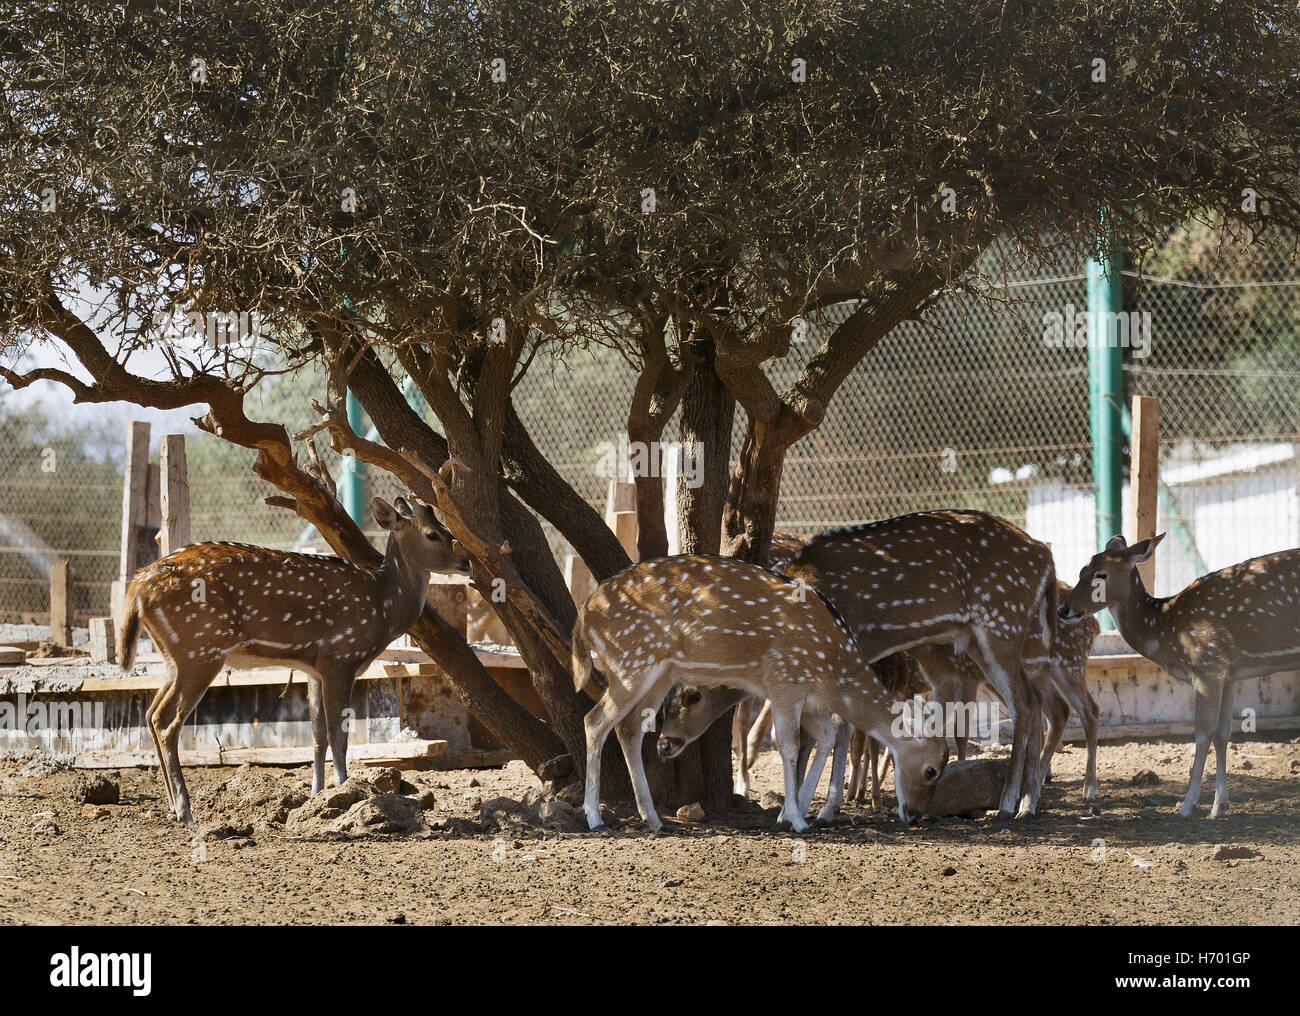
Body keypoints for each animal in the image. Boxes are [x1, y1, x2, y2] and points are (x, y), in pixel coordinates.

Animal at [116, 495, 470, 824]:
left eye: (446, 528)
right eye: (433, 534)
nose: (466, 561)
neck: (383, 608)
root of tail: (136, 588)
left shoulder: (313, 668)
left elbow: (317, 733)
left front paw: (316, 795)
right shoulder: (341, 656)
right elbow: (338, 732)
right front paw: (346, 790)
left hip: (174, 656)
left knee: (149, 713)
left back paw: (171, 806)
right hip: (200, 650)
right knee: (165, 720)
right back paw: (186, 810)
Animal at [572, 555, 948, 833]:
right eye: (931, 770)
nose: (915, 816)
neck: (833, 669)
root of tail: (583, 618)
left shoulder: (812, 702)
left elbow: (825, 738)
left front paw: (794, 813)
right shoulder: (784, 679)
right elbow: (789, 744)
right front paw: (796, 819)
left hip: (659, 674)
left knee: (629, 728)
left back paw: (653, 819)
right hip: (630, 662)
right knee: (594, 720)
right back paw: (595, 818)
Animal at [1060, 533, 1300, 818]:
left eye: (1101, 575)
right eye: (1081, 571)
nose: (1063, 609)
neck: (1166, 628)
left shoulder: (1206, 663)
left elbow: (1202, 733)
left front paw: (1187, 805)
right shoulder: (1229, 674)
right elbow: (1223, 734)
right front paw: (1219, 806)